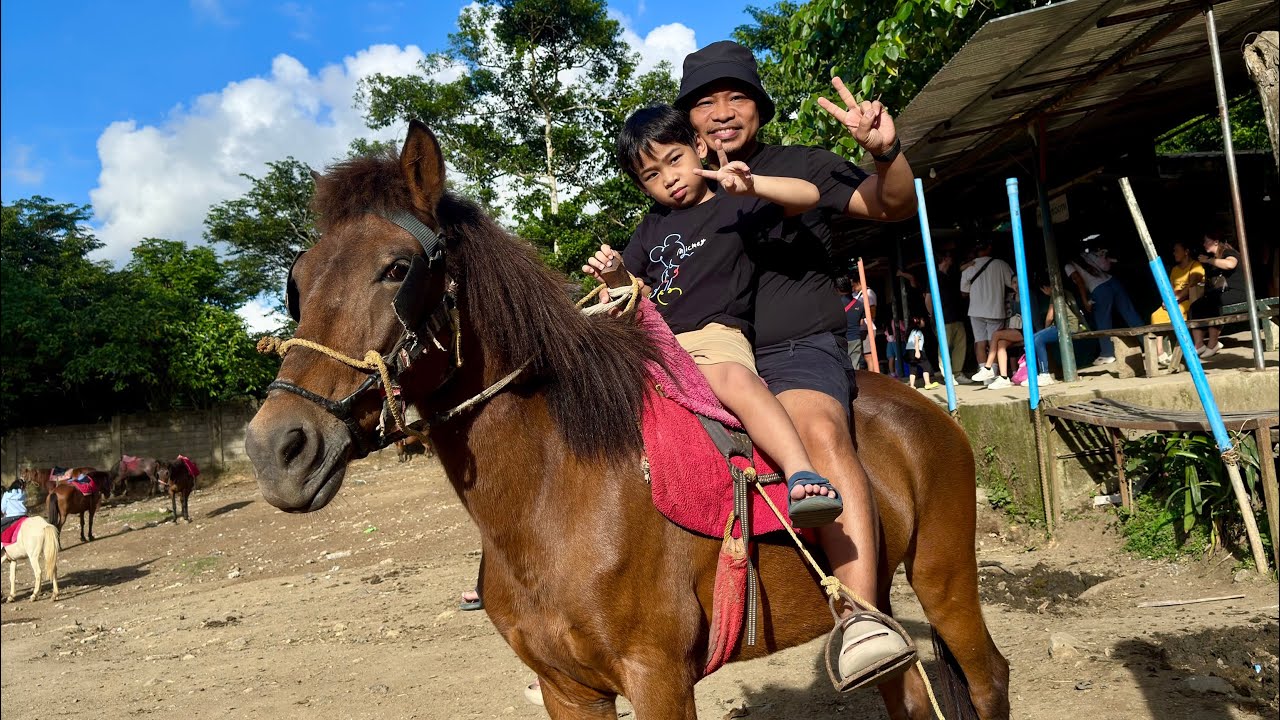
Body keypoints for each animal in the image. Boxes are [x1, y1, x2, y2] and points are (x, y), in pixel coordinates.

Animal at [245, 122, 1009, 720]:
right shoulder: (567, 690)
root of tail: (925, 410)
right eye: (298, 281)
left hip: (943, 577)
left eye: (398, 269)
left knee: (988, 678)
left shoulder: (658, 678)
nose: (276, 448)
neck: (557, 491)